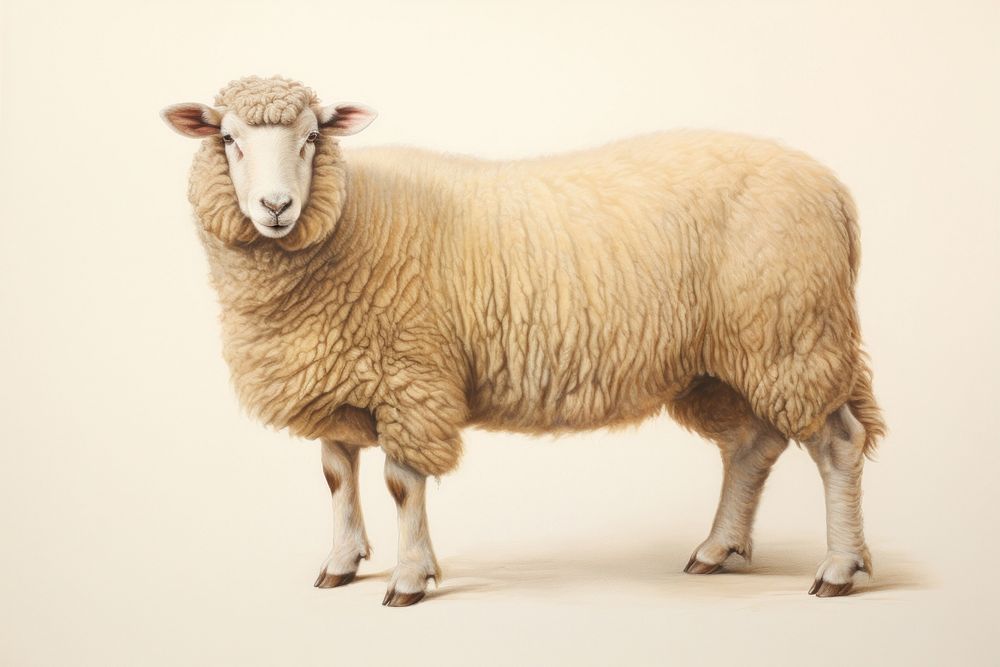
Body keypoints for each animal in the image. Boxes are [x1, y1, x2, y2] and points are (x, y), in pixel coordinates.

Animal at [162, 75, 885, 606]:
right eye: (229, 138)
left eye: (312, 137)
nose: (276, 206)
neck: (351, 221)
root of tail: (835, 190)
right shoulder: (337, 372)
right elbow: (337, 474)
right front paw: (340, 563)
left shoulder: (411, 376)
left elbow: (401, 484)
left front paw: (409, 577)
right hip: (730, 358)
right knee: (751, 446)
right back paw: (718, 548)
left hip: (794, 334)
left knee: (838, 444)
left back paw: (839, 568)